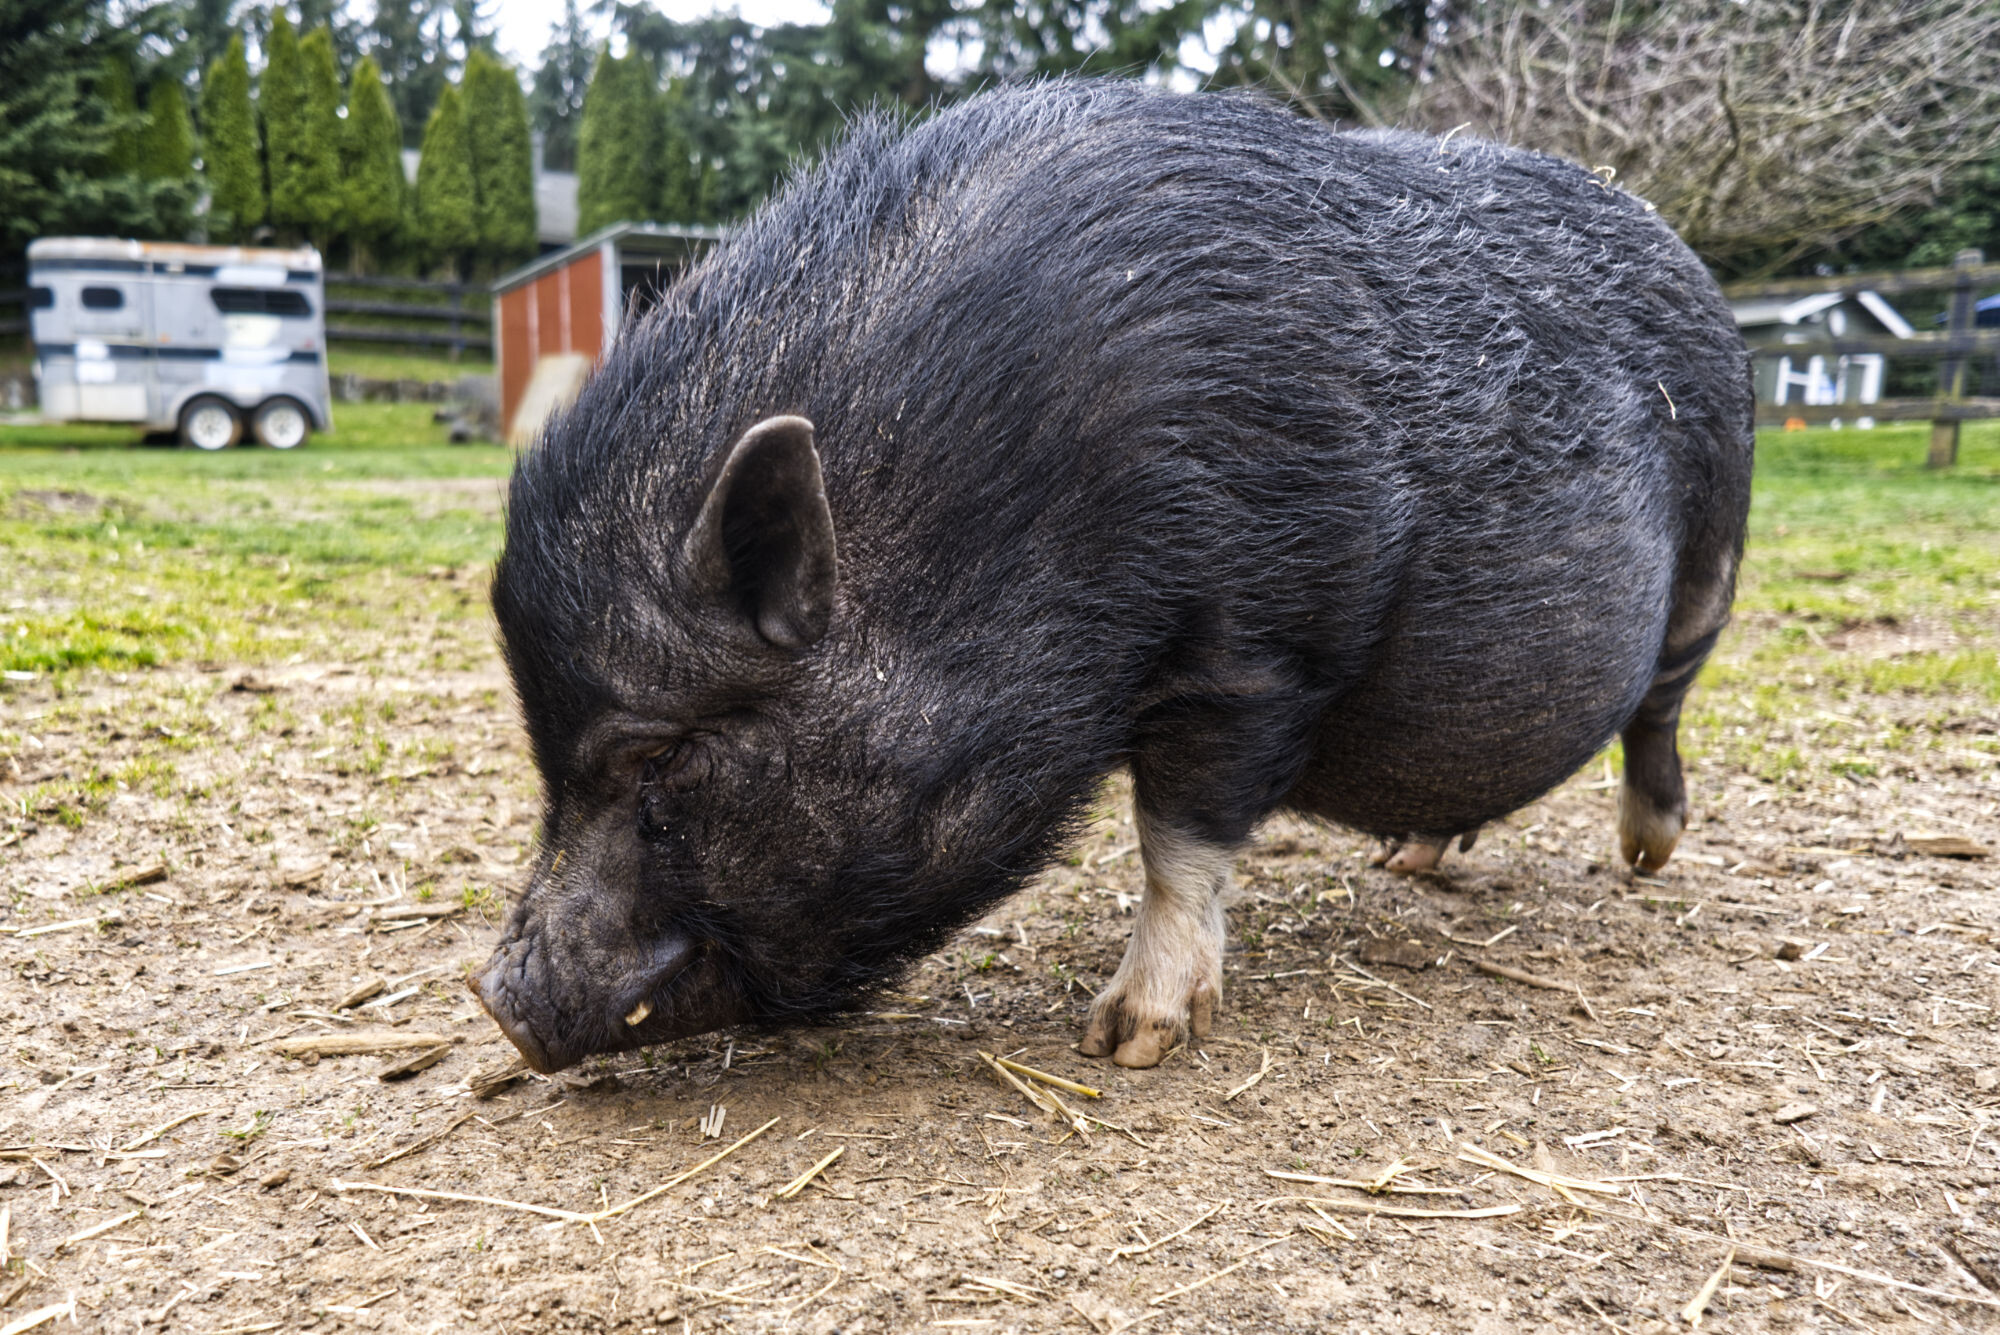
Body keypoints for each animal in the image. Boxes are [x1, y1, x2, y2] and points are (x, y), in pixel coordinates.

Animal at [473, 80, 1752, 1074]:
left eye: (661, 756)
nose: (498, 1003)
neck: (1002, 509)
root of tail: (1695, 265)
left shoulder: (1257, 651)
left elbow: (1177, 833)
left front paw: (1126, 1042)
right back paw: (1407, 859)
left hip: (1714, 554)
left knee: (1659, 707)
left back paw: (1646, 856)